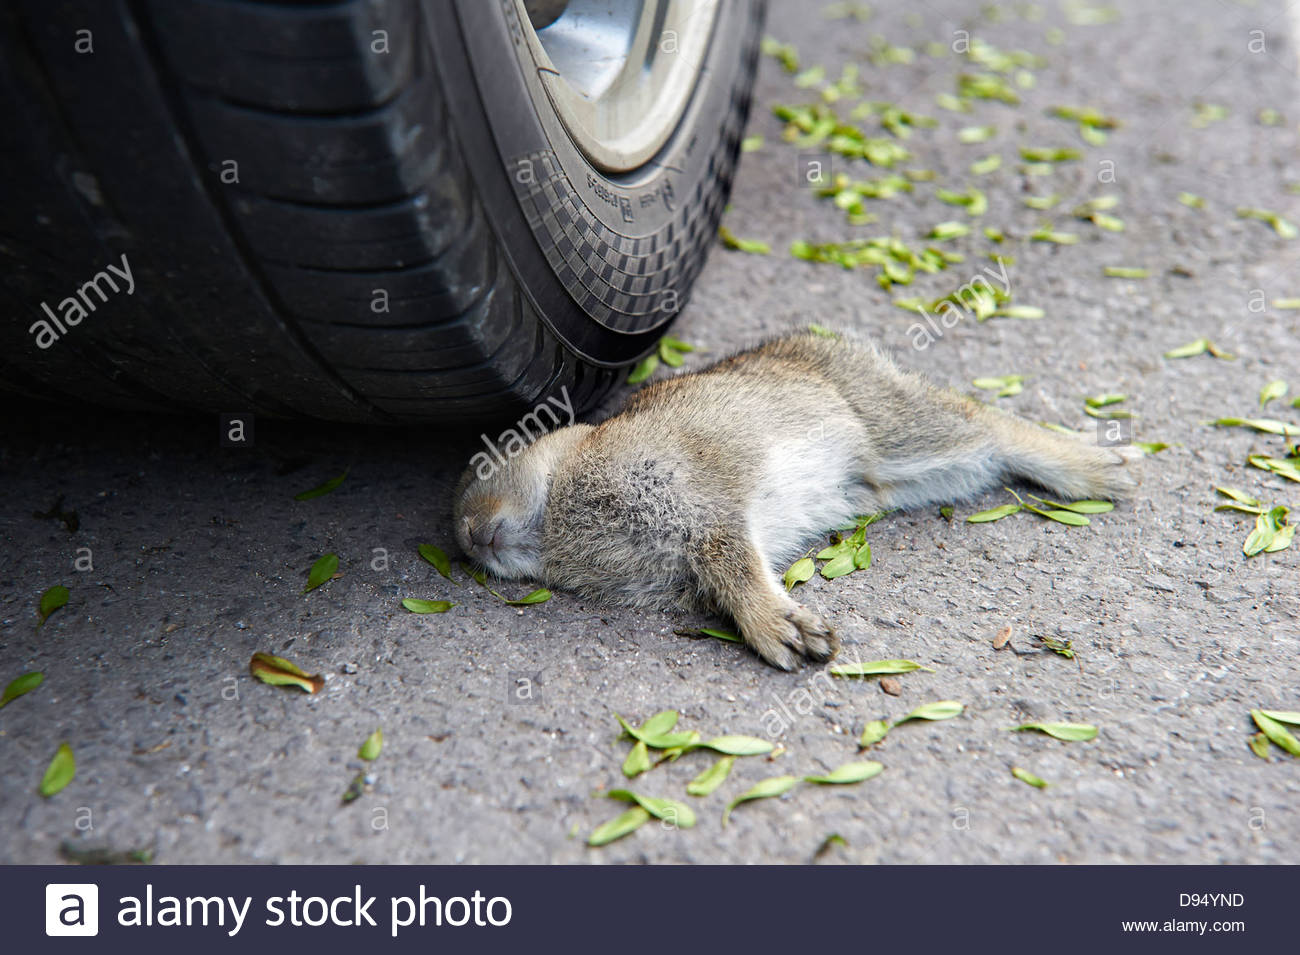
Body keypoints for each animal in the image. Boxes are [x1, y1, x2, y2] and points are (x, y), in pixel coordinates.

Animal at [453, 330, 1138, 670]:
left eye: (494, 458)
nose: (467, 535)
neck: (561, 487)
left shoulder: (698, 507)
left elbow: (733, 562)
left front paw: (789, 635)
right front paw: (789, 632)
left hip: (901, 432)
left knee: (988, 424)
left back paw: (1105, 468)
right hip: (904, 476)